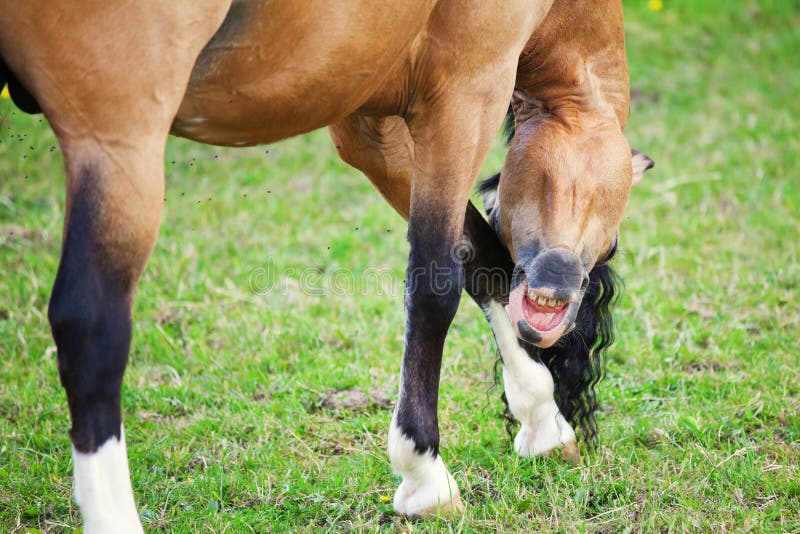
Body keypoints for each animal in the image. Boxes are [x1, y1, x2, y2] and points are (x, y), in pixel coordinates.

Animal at [0, 0, 651, 530]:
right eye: (613, 245)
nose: (556, 295)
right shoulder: (468, 90)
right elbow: (437, 281)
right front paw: (425, 475)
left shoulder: (369, 128)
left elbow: (480, 255)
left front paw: (542, 421)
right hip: (118, 138)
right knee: (91, 331)